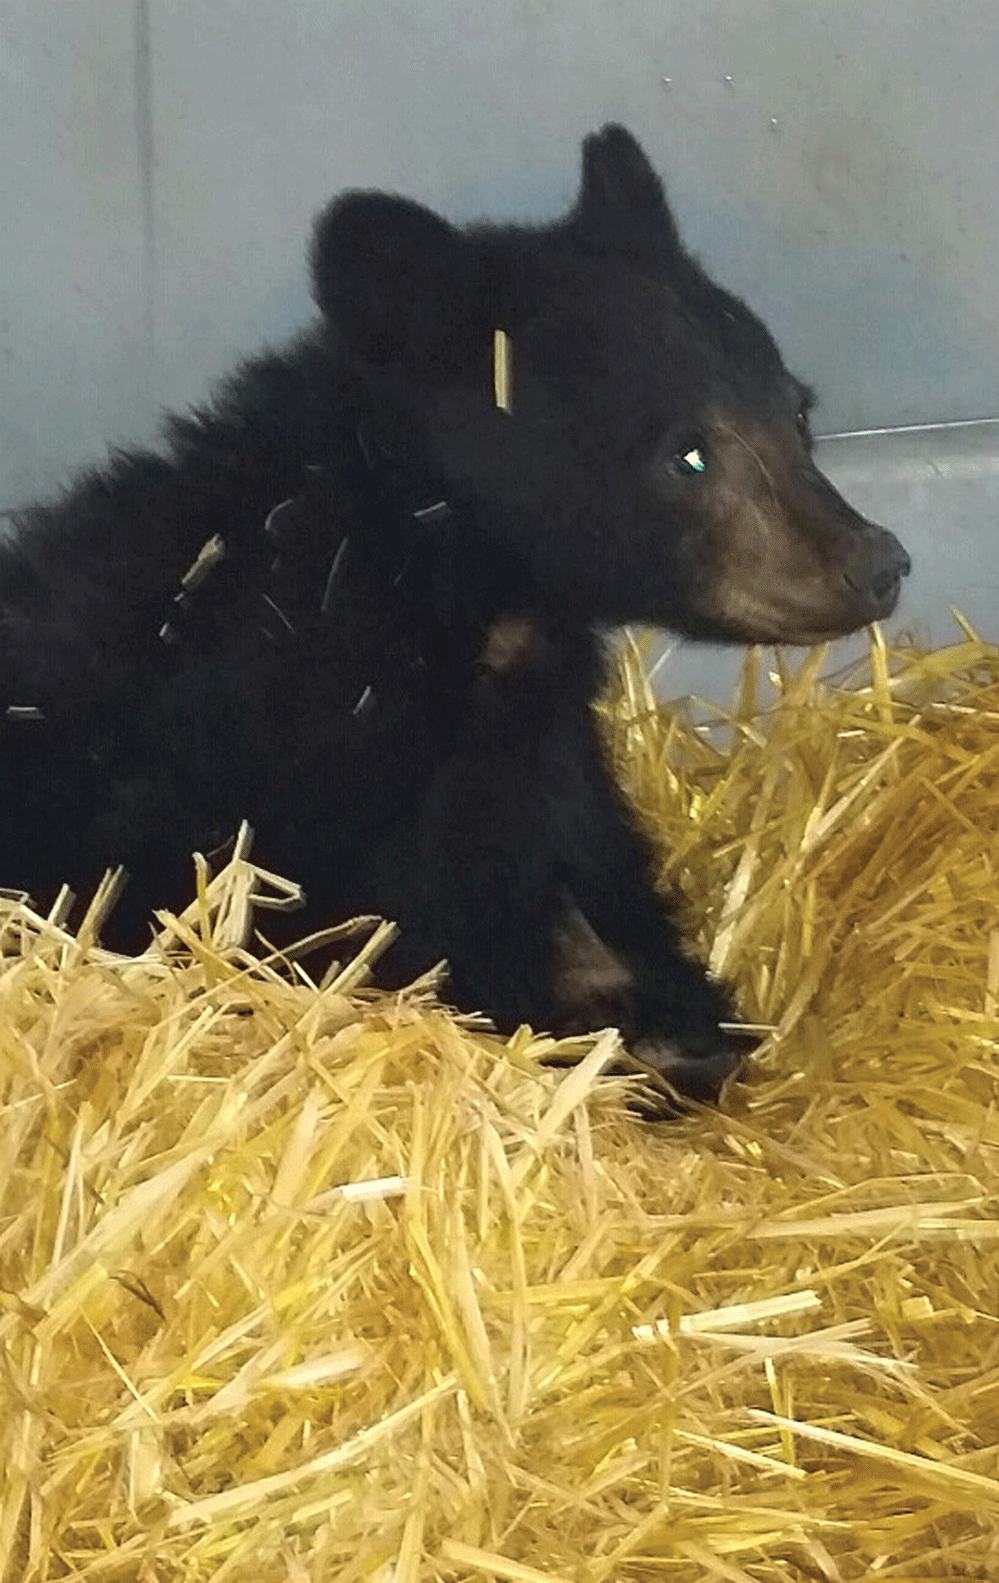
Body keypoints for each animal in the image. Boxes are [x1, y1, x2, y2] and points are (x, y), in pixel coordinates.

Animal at [0, 125, 909, 1106]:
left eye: (796, 412)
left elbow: (588, 872)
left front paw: (667, 1004)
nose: (878, 563)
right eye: (687, 454)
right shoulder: (270, 775)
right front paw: (614, 1019)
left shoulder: (532, 750)